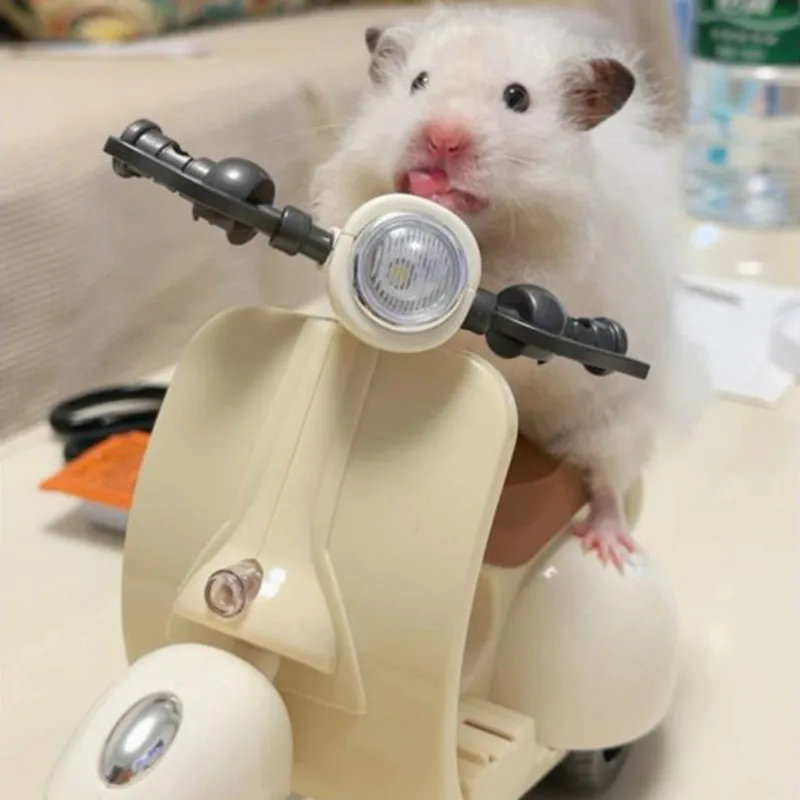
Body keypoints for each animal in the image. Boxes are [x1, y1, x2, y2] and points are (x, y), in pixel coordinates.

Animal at [311, 4, 690, 571]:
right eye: (419, 82)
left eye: (517, 98)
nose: (442, 139)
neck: (485, 229)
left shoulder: (552, 265)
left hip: (614, 426)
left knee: (607, 484)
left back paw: (609, 548)